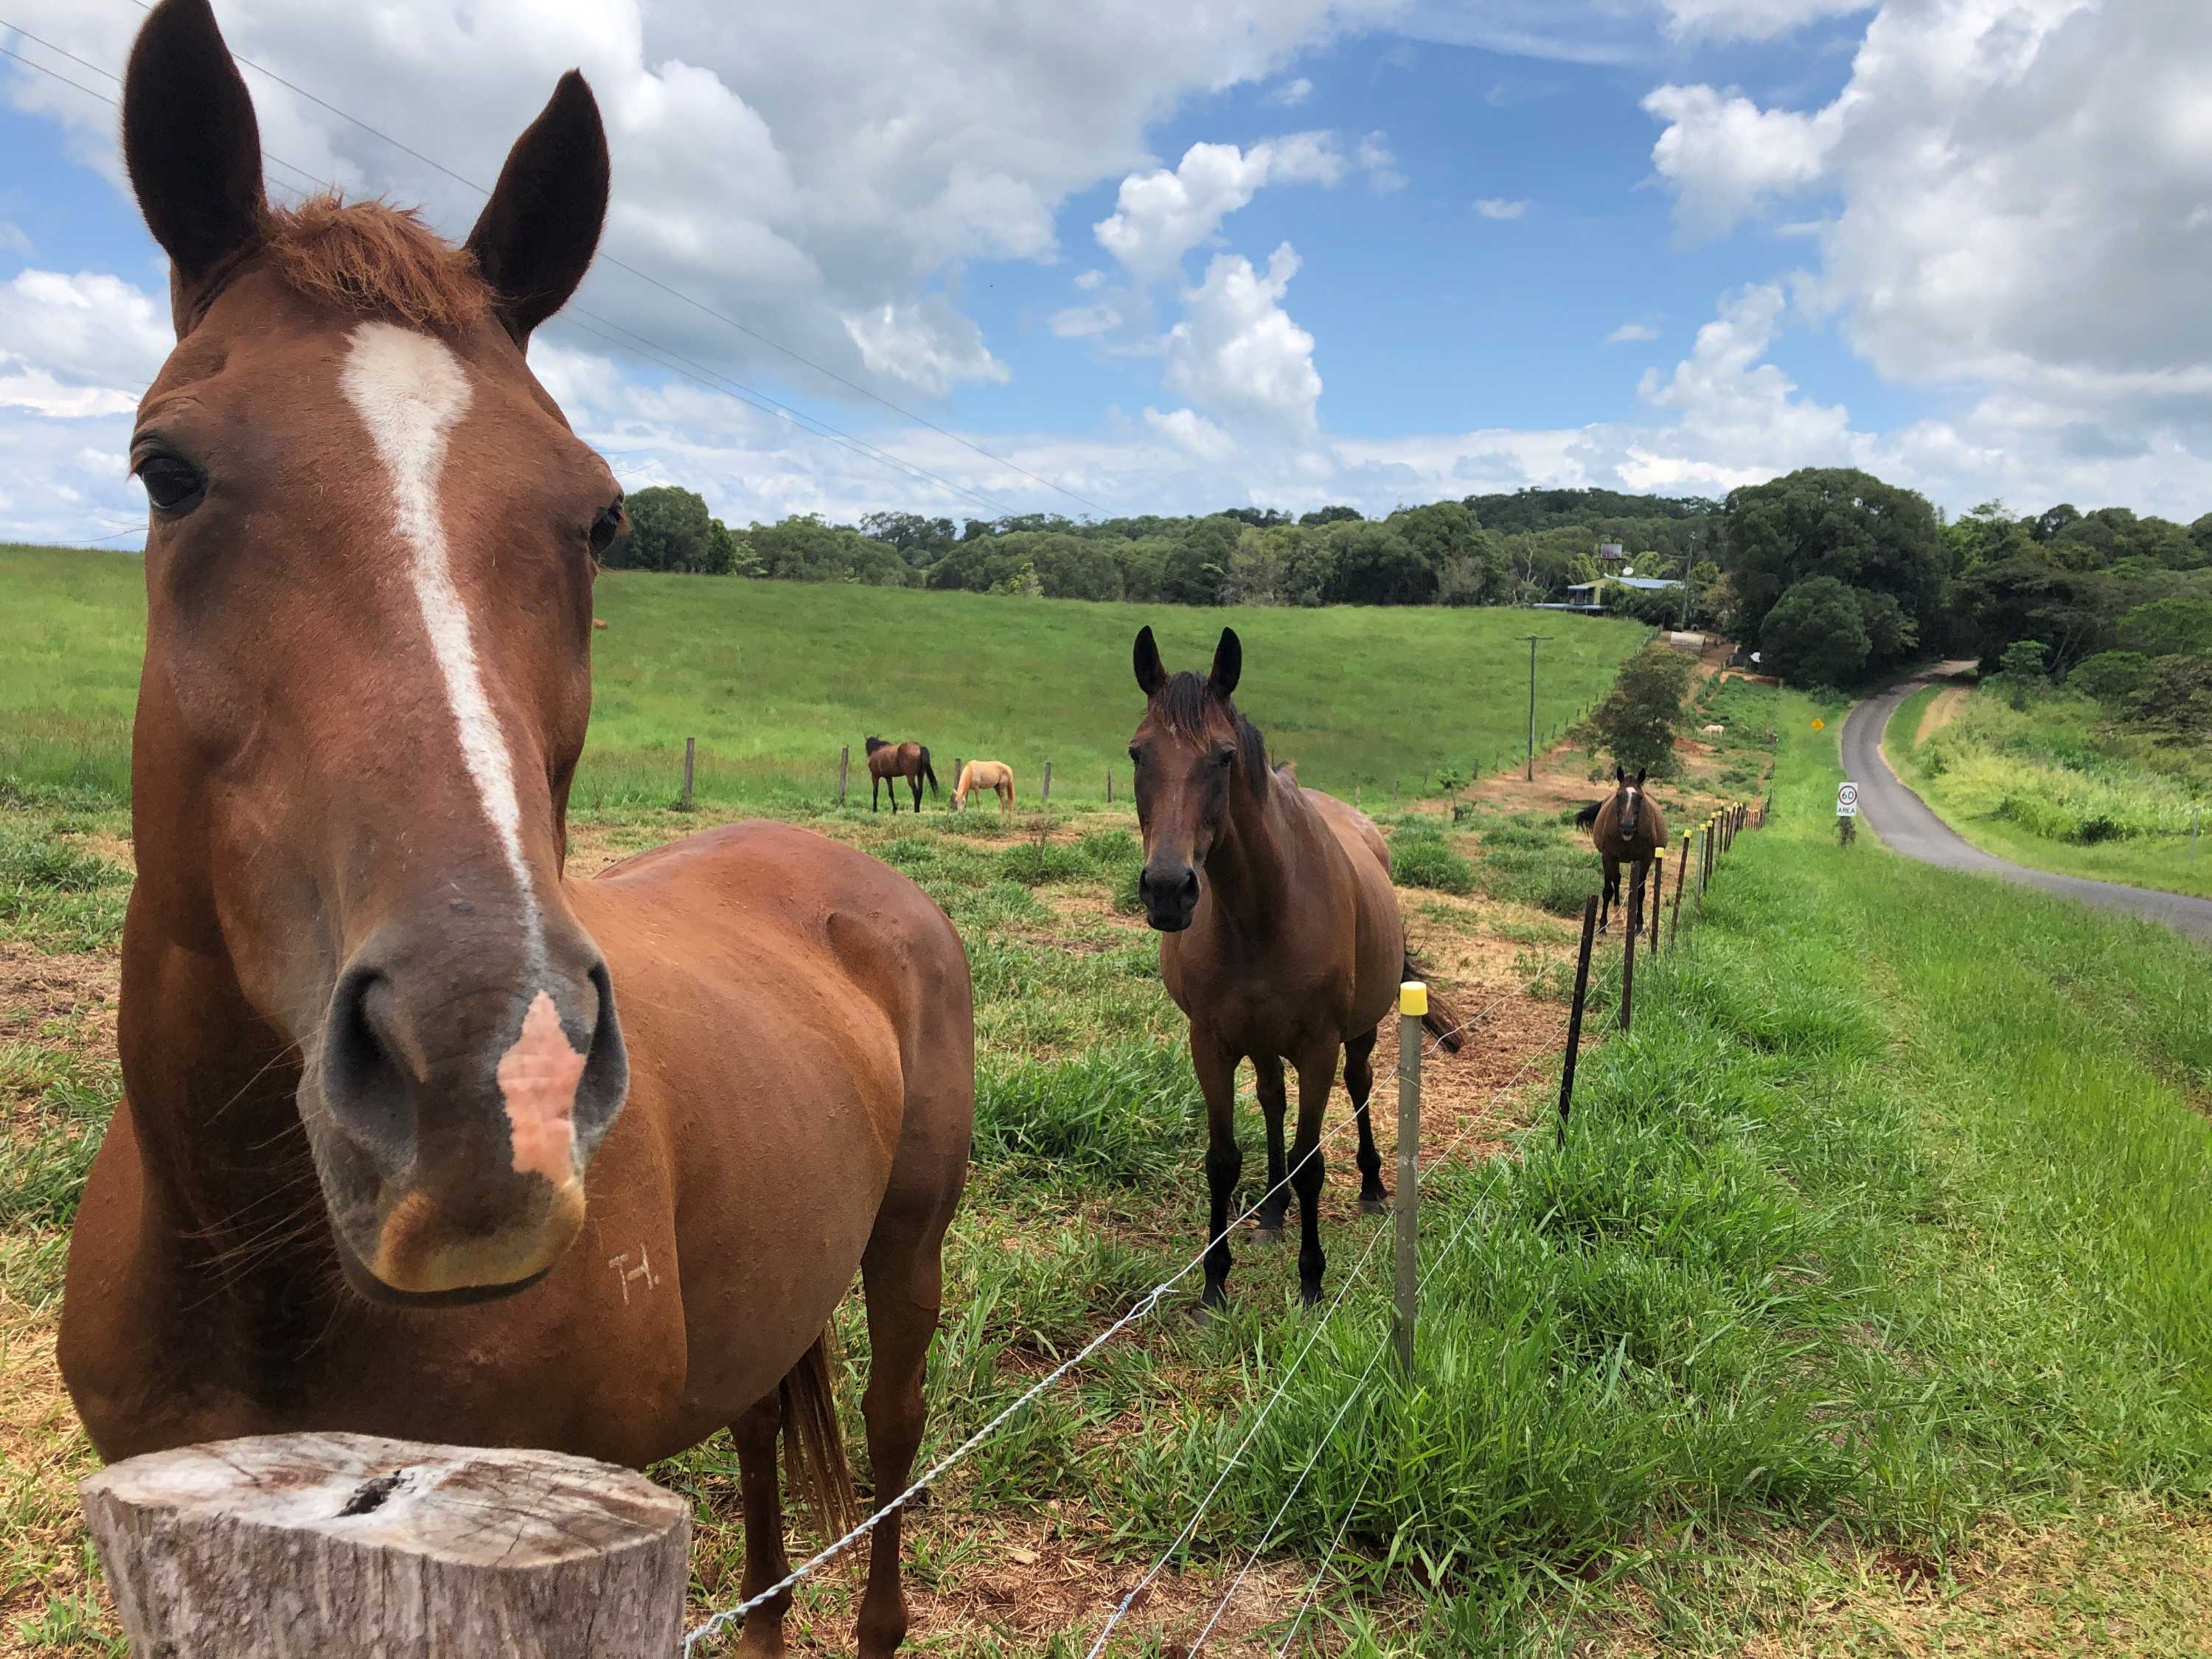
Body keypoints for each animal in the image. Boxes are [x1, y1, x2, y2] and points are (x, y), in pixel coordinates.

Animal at [57, 8, 974, 1654]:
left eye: (600, 516)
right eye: (168, 470)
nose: (498, 1083)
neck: (257, 1259)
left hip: (909, 1258)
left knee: (885, 1446)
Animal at [1128, 626, 1463, 1313]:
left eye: (1224, 757)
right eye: (1137, 753)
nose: (1169, 889)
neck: (1262, 910)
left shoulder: (1318, 1045)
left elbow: (1313, 1160)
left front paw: (1311, 1281)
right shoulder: (1211, 1041)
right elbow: (1223, 1158)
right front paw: (1214, 1284)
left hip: (1356, 1035)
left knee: (1360, 1087)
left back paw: (1371, 1188)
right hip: (1261, 1041)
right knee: (1272, 1100)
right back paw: (1273, 1210)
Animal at [1575, 765, 1668, 935]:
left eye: (1640, 797)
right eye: (1619, 796)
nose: (1627, 827)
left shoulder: (1645, 860)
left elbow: (1640, 893)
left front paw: (1639, 925)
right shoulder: (1608, 857)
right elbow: (1607, 890)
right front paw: (1602, 924)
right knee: (1616, 880)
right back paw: (1617, 909)